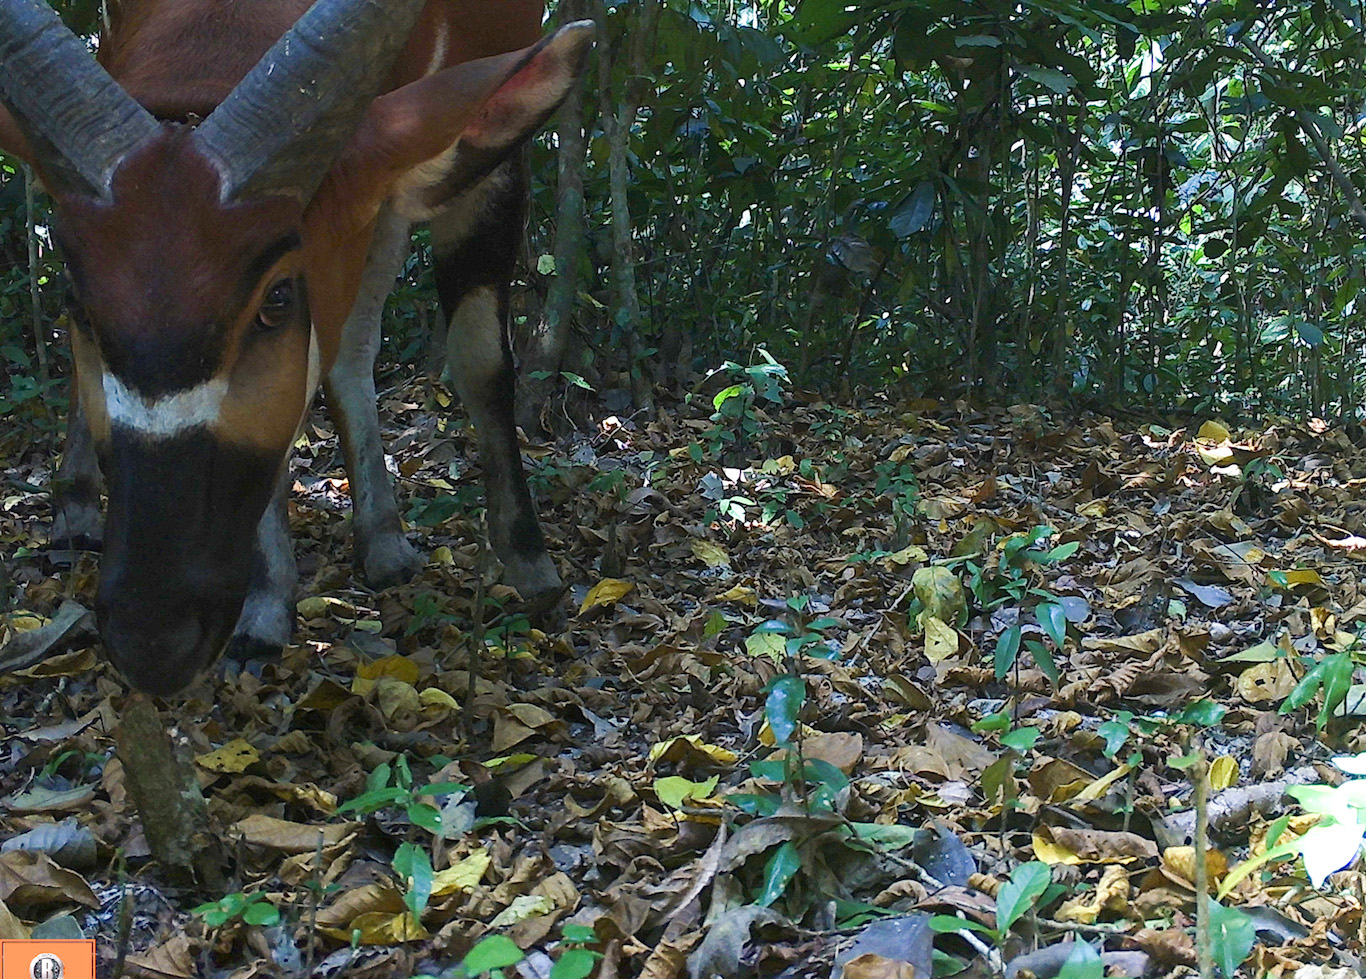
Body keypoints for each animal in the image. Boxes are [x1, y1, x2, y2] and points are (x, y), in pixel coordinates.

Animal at [0, 0, 590, 695]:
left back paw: (385, 544)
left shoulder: (474, 158)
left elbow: (479, 362)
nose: (154, 635)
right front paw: (265, 612)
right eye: (76, 299)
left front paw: (534, 571)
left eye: (276, 299)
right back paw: (75, 517)